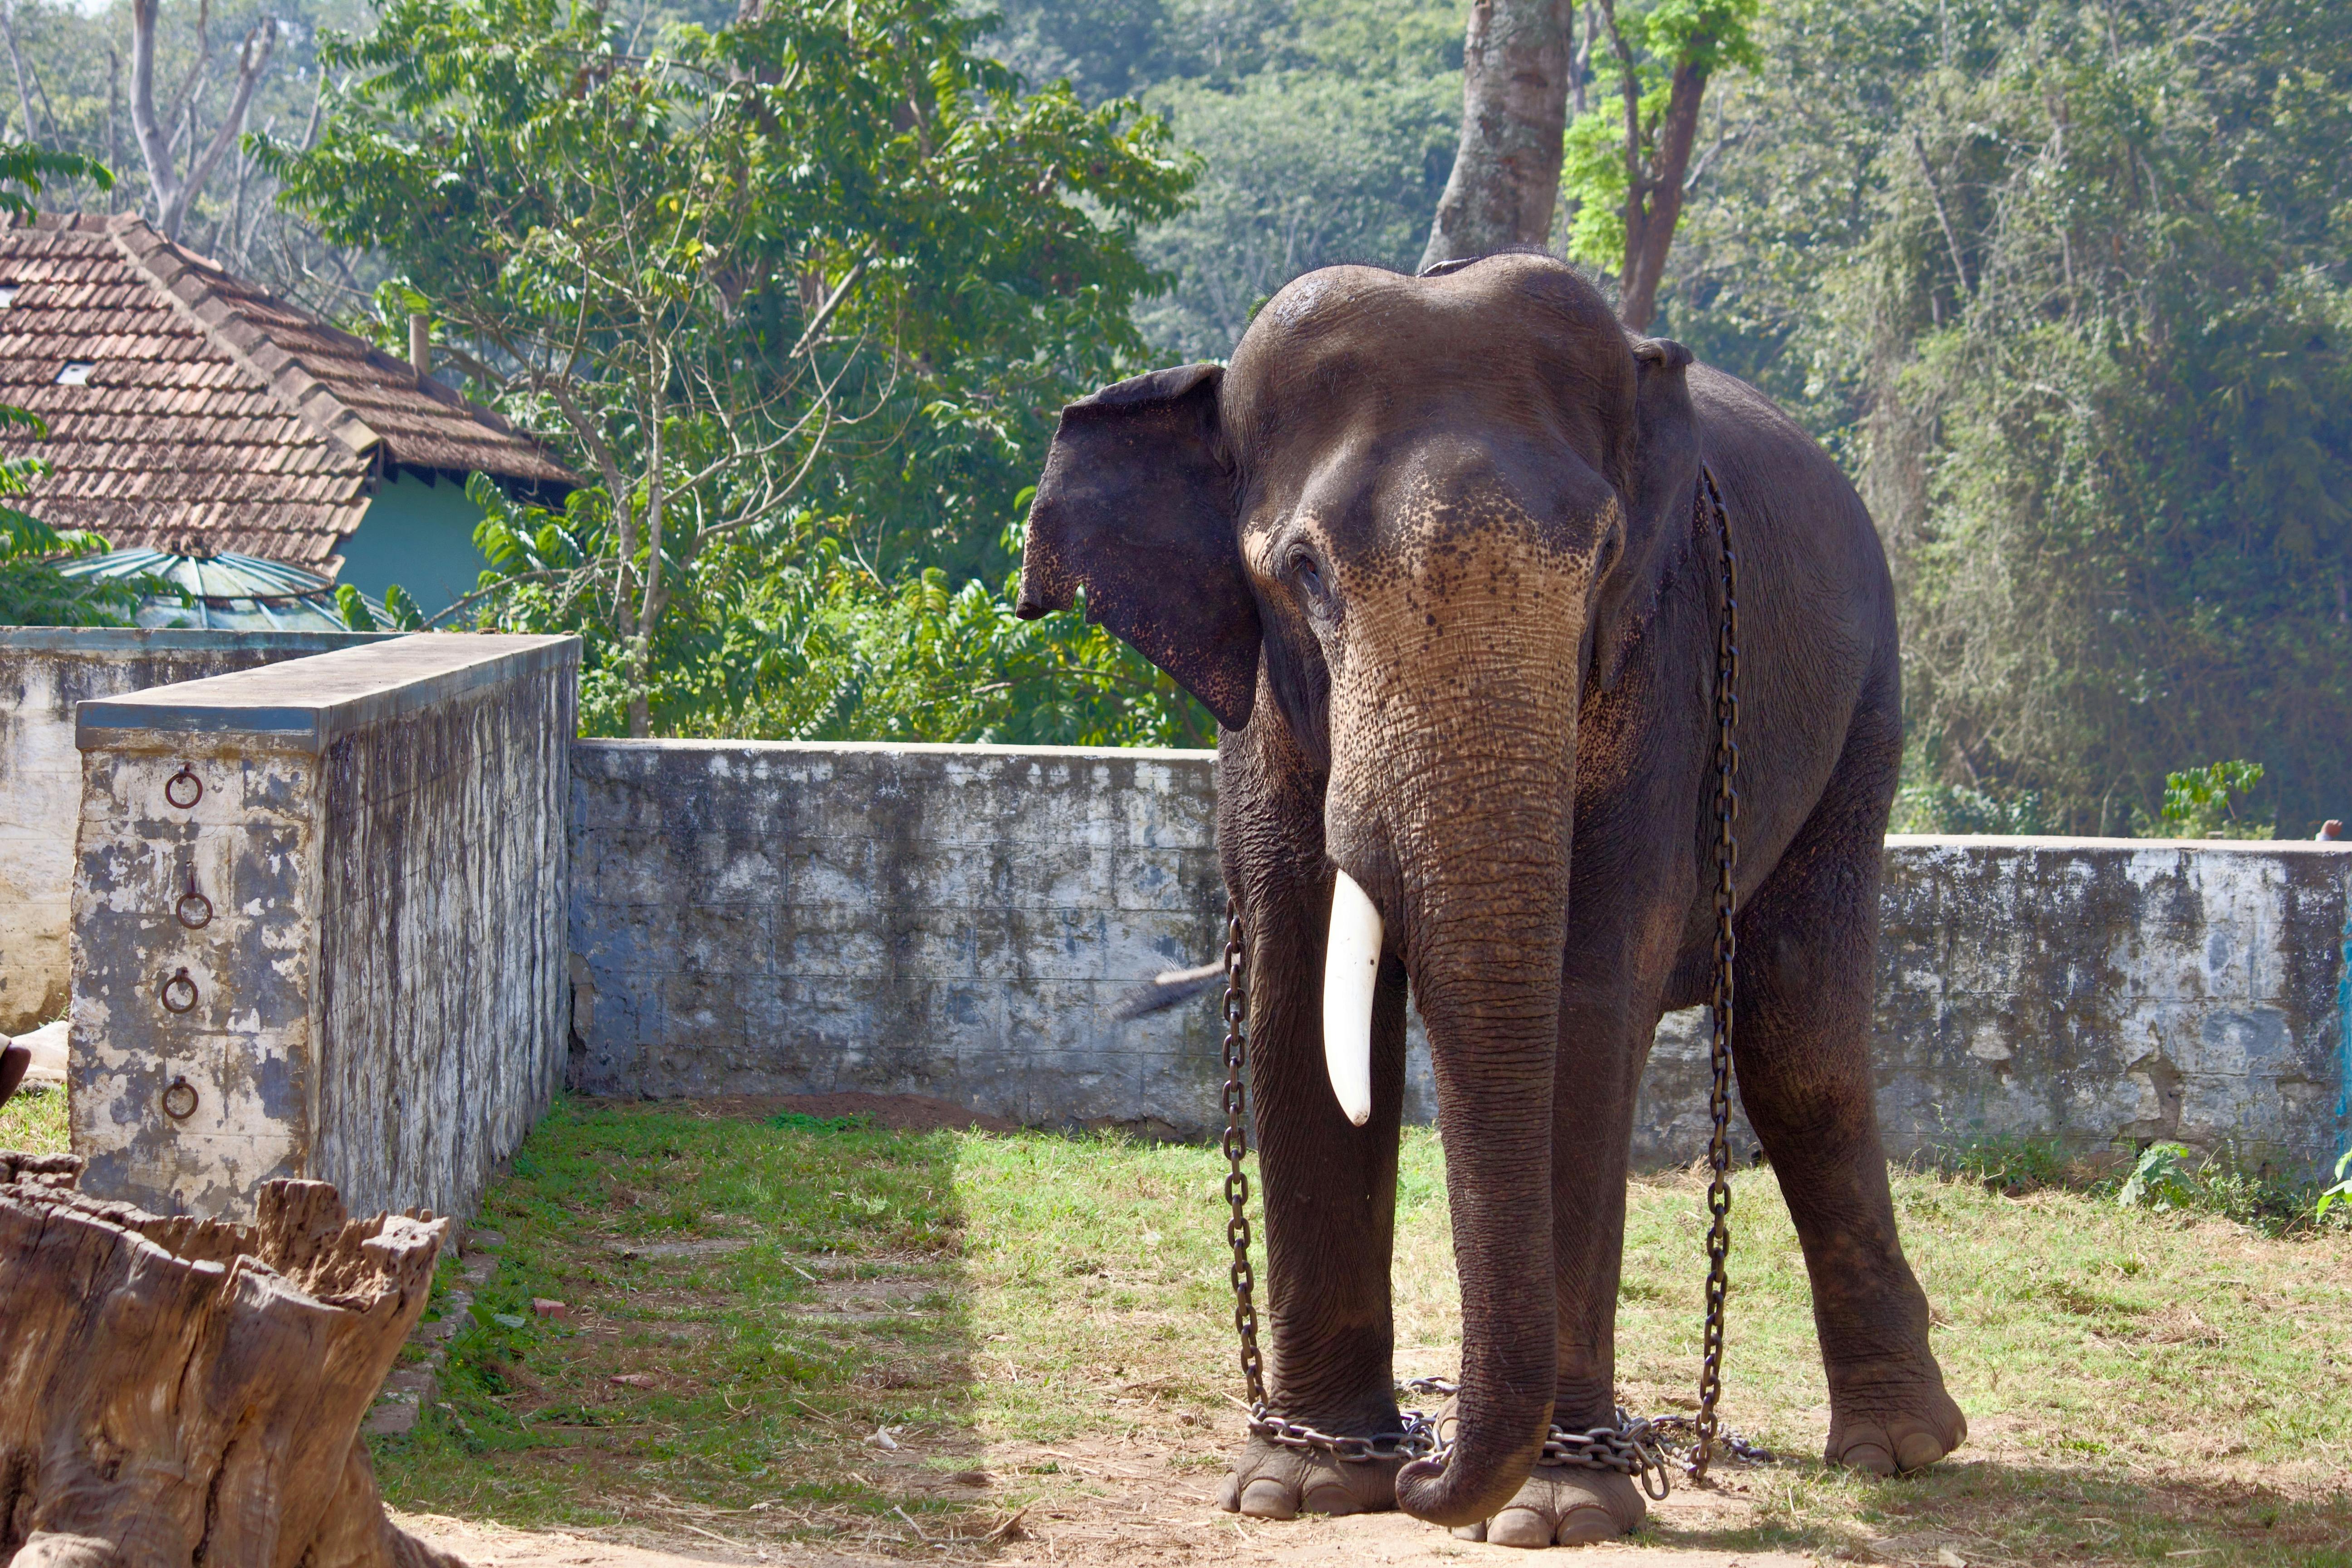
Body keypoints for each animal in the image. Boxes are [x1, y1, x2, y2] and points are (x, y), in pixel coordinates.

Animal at [1014, 252, 1965, 1548]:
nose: (1426, 1463)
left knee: (1801, 1050)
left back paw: (1895, 1450)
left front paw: (1553, 1511)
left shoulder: (1663, 668)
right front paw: (1303, 1487)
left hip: (1866, 719)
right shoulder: (1262, 716)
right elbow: (1296, 992)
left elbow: (1583, 1002)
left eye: (1602, 556)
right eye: (1303, 571)